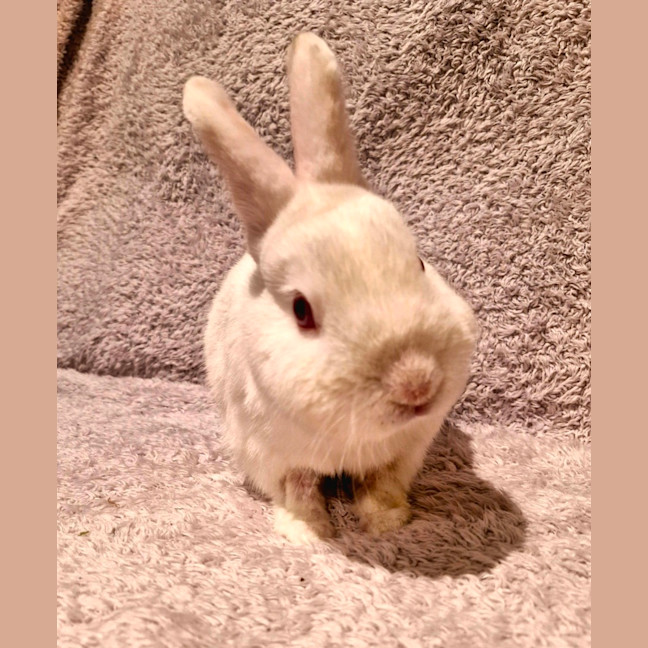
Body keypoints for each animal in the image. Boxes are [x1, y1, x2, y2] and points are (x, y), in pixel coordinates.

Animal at [182, 33, 478, 544]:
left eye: (419, 264)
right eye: (301, 310)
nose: (417, 382)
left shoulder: (403, 452)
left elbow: (381, 485)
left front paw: (389, 524)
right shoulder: (273, 454)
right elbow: (298, 488)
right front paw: (306, 533)